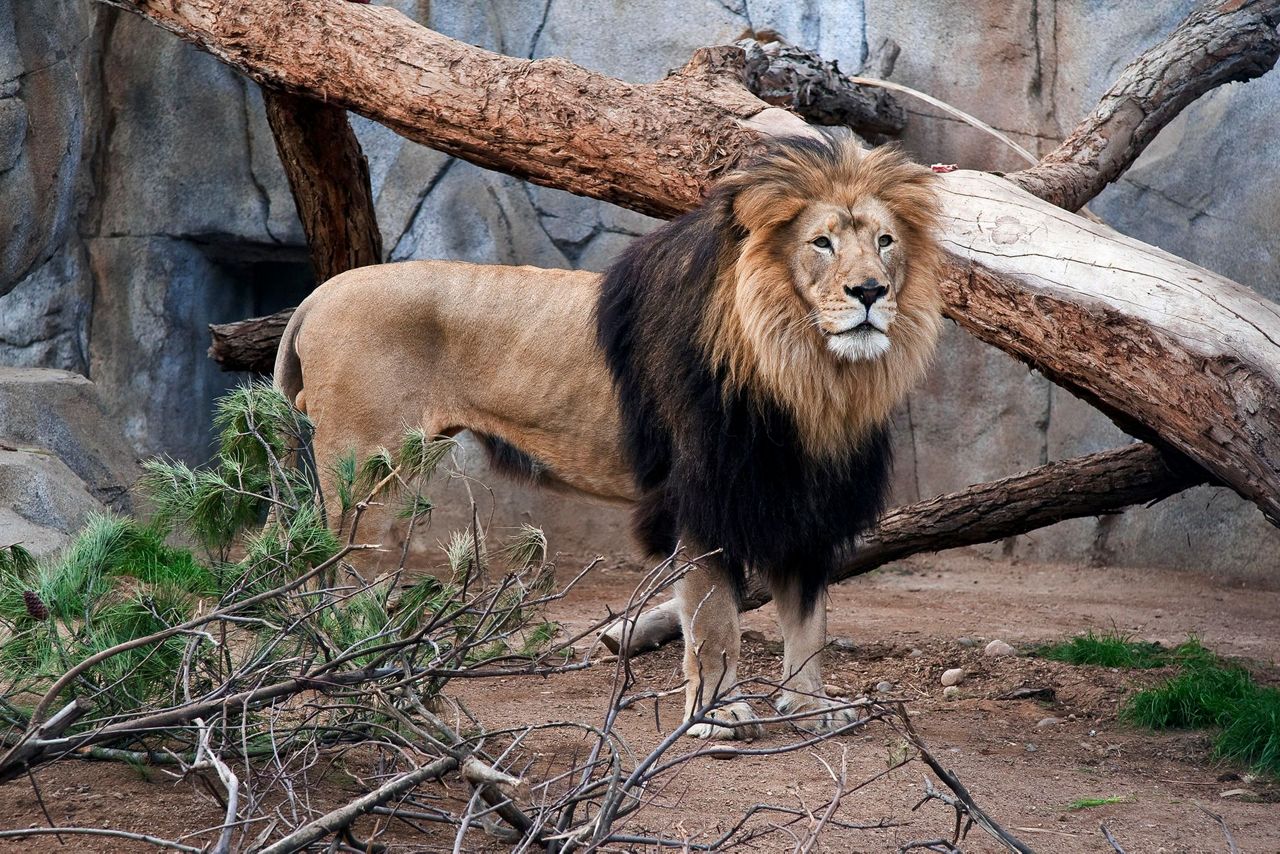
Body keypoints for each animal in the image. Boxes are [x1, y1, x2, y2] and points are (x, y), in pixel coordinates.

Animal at [274, 134, 944, 740]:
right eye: (821, 243)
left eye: (884, 242)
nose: (870, 292)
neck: (810, 374)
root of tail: (316, 295)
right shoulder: (699, 499)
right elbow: (714, 622)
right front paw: (717, 715)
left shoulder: (803, 503)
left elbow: (809, 624)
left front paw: (812, 708)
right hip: (368, 476)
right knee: (335, 581)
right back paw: (365, 685)